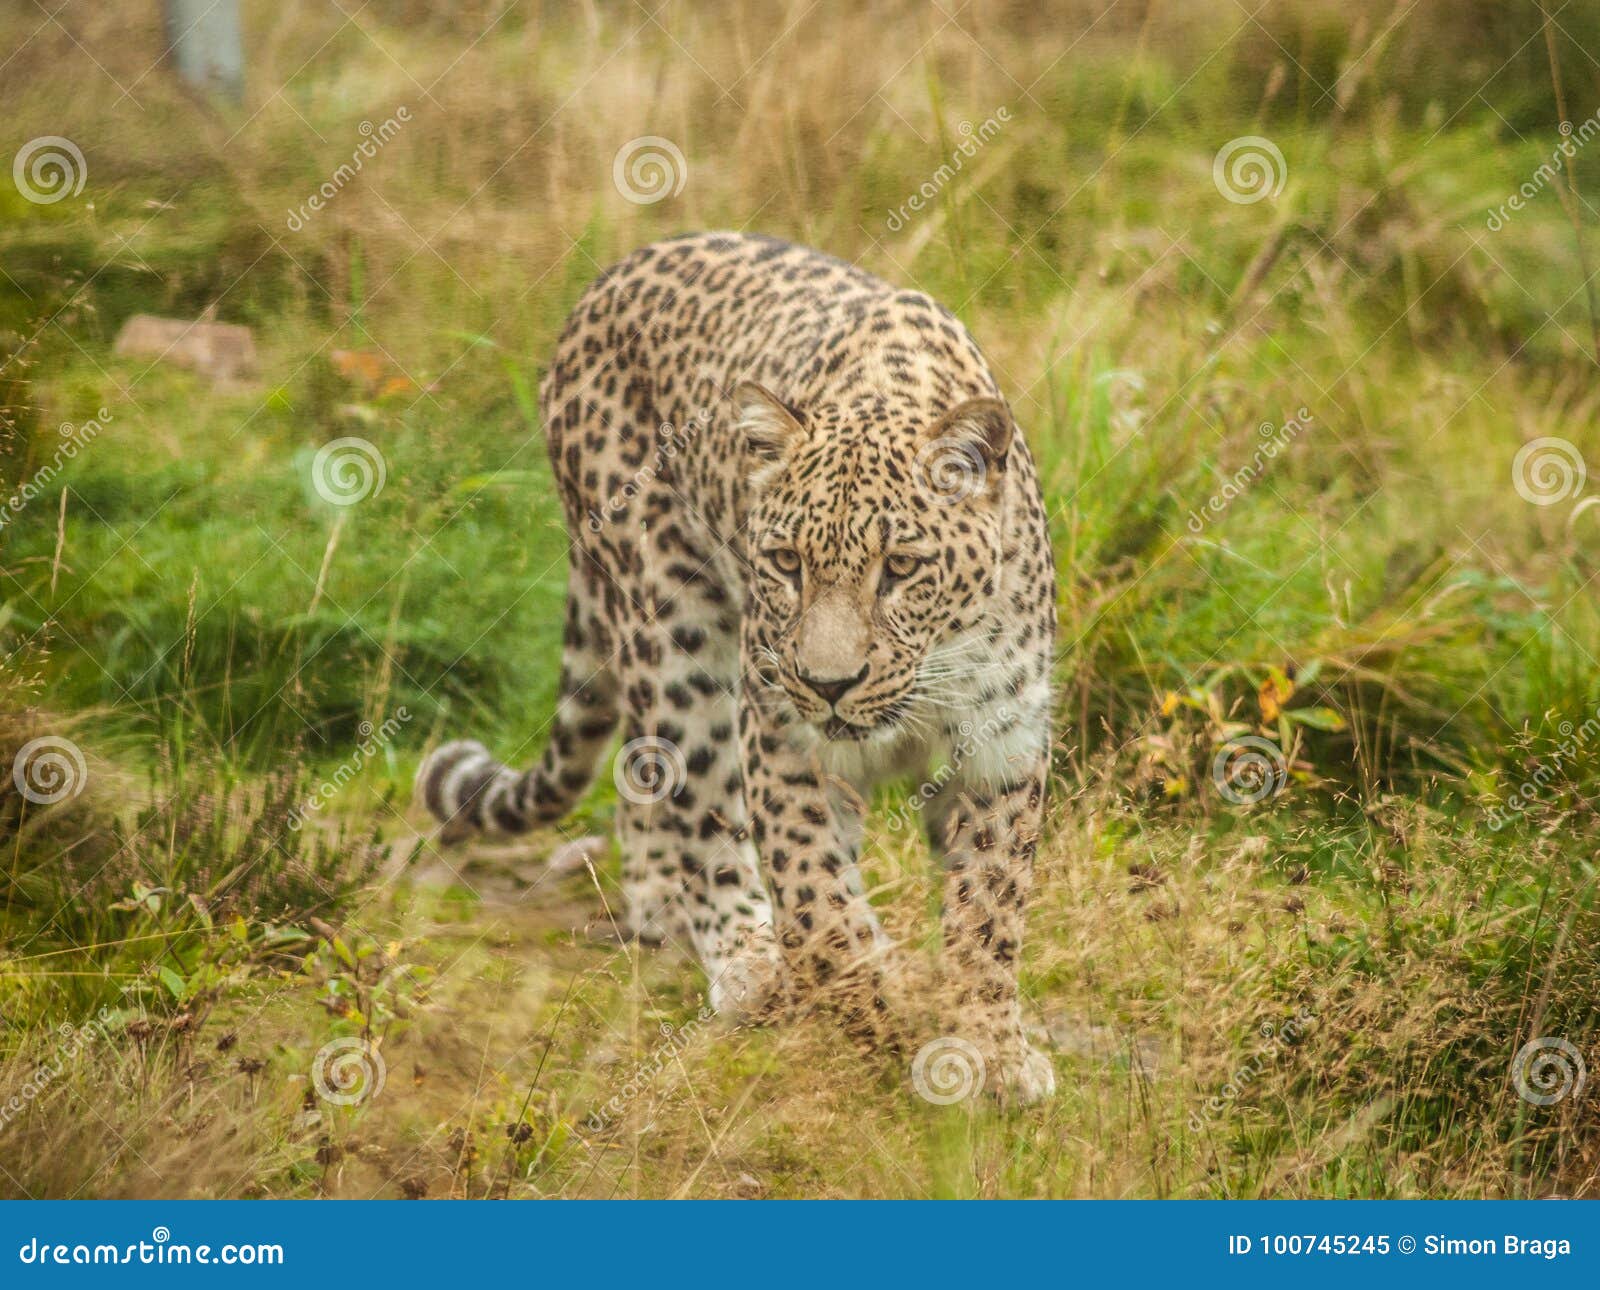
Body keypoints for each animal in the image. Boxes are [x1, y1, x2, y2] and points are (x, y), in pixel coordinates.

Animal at [415, 232, 1057, 1102]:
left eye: (900, 568)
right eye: (785, 563)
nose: (828, 683)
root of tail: (610, 276)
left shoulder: (1002, 742)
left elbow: (990, 907)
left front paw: (989, 1046)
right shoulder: (779, 729)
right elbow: (817, 899)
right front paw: (878, 1002)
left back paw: (661, 907)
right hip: (669, 625)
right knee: (694, 795)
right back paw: (744, 957)